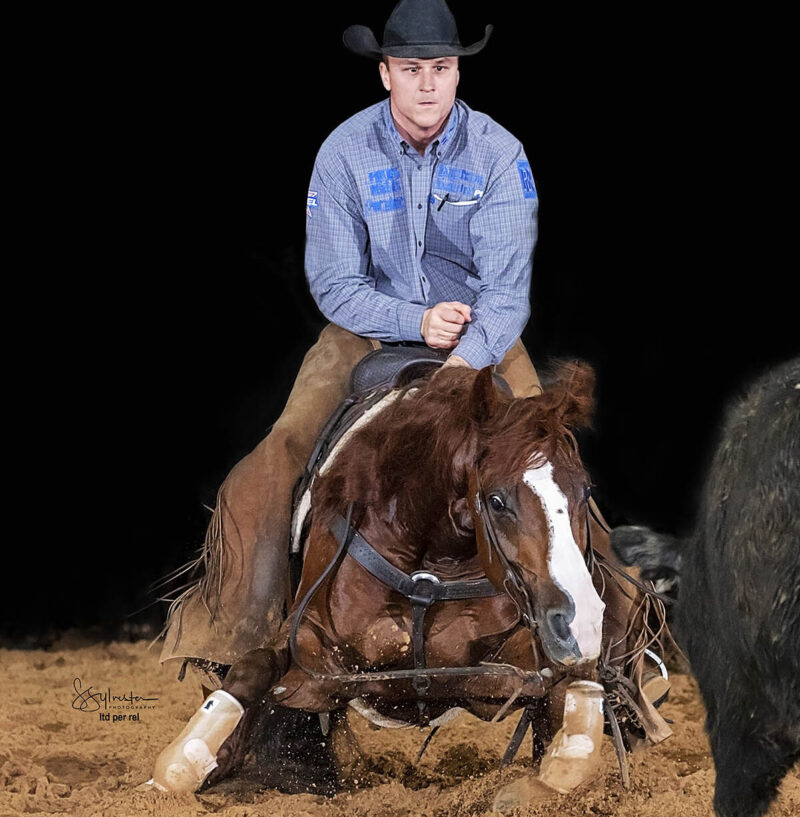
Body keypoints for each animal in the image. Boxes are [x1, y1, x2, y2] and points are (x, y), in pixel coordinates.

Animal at [157, 359, 670, 805]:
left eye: (585, 490)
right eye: (496, 500)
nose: (580, 622)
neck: (431, 565)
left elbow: (573, 699)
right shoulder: (312, 656)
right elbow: (255, 665)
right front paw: (181, 767)